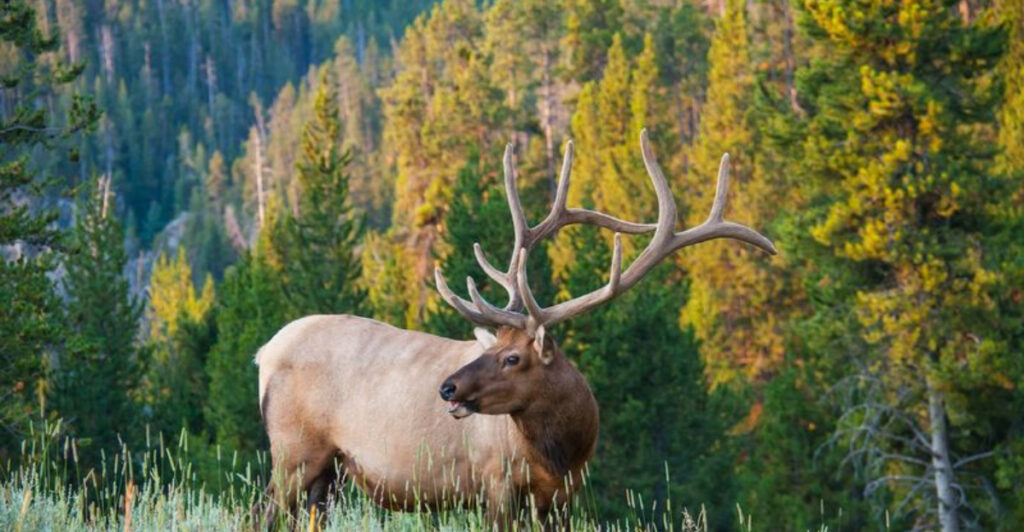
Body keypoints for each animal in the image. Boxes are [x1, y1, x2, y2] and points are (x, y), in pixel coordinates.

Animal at [255, 129, 776, 527]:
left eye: (512, 357)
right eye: (493, 350)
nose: (447, 388)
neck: (561, 452)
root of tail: (264, 352)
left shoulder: (563, 497)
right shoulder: (495, 482)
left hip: (331, 471)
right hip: (293, 450)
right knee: (266, 513)